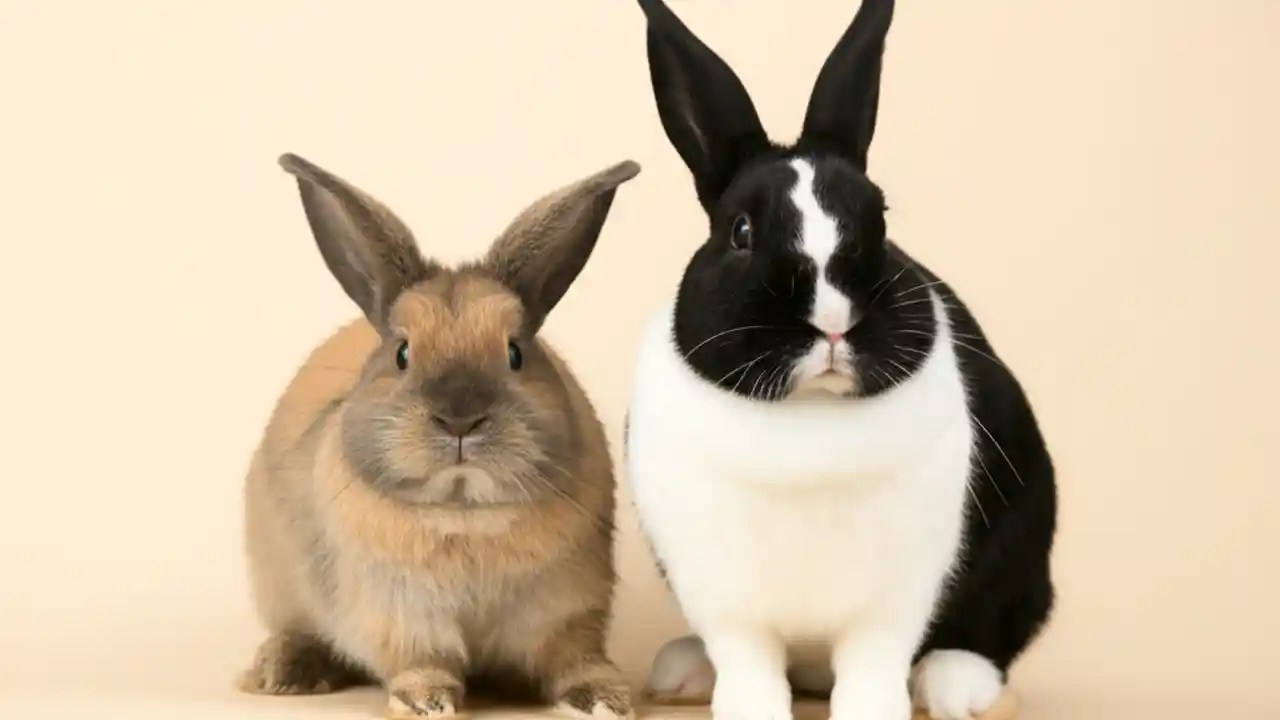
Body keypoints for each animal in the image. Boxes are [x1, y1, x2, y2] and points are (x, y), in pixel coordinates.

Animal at [239, 152, 641, 720]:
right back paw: (284, 670)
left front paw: (606, 698)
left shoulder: (570, 611)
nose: (459, 420)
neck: (463, 510)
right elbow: (421, 661)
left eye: (515, 352)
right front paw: (426, 702)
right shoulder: (401, 618)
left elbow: (576, 660)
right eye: (402, 353)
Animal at [624, 1, 1056, 720]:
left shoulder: (895, 599)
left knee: (990, 631)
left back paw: (956, 687)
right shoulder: (726, 600)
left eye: (878, 219)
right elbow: (748, 665)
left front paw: (874, 710)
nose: (832, 322)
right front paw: (748, 709)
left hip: (1022, 545)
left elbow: (872, 665)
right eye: (741, 231)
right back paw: (679, 672)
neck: (811, 415)